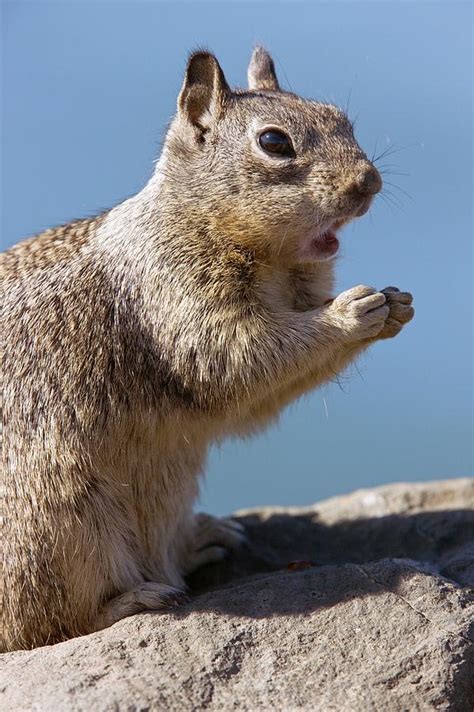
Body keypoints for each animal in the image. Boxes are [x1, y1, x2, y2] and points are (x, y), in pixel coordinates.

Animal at [1, 47, 414, 651]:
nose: (370, 181)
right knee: (50, 623)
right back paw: (135, 598)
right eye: (274, 142)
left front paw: (398, 304)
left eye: (341, 118)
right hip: (61, 527)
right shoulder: (180, 296)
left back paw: (204, 538)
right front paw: (352, 313)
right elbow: (240, 362)